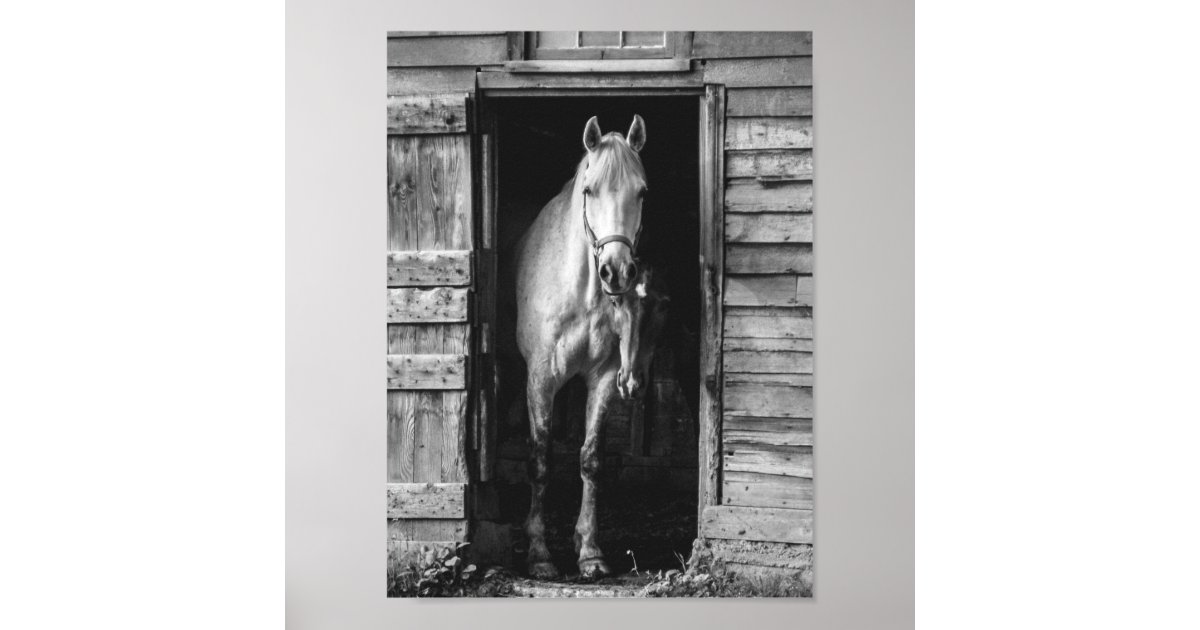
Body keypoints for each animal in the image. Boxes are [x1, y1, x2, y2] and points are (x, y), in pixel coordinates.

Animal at [512, 114, 661, 579]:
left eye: (642, 192)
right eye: (589, 190)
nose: (616, 271)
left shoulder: (603, 379)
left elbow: (591, 460)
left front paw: (590, 551)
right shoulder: (539, 379)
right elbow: (540, 458)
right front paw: (539, 553)